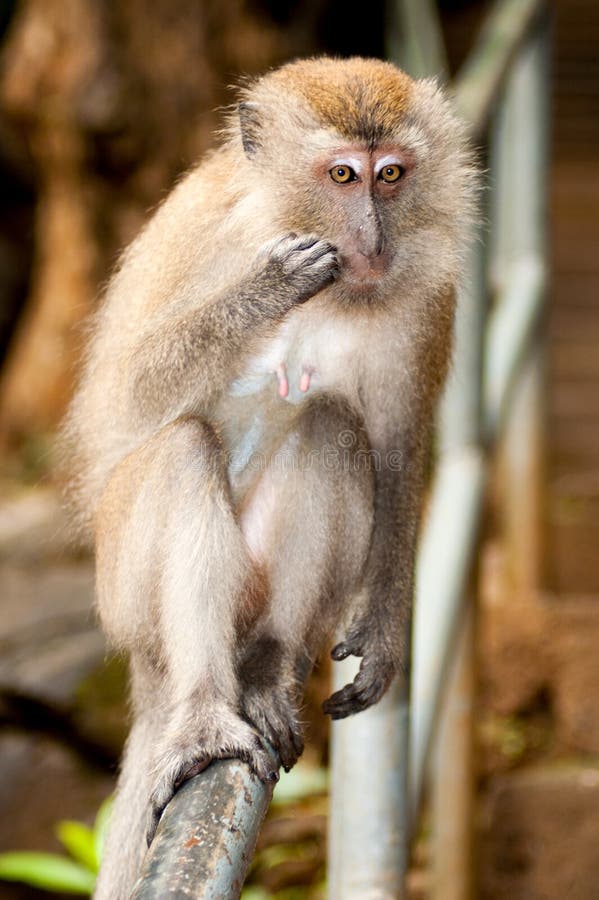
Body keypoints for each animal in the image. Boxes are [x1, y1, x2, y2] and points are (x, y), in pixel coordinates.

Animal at [61, 56, 477, 898]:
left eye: (391, 175)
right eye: (342, 174)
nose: (371, 237)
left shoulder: (428, 290)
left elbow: (395, 449)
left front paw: (384, 632)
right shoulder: (200, 229)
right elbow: (122, 397)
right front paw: (266, 289)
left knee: (333, 430)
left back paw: (269, 663)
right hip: (123, 600)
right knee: (182, 449)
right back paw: (202, 715)